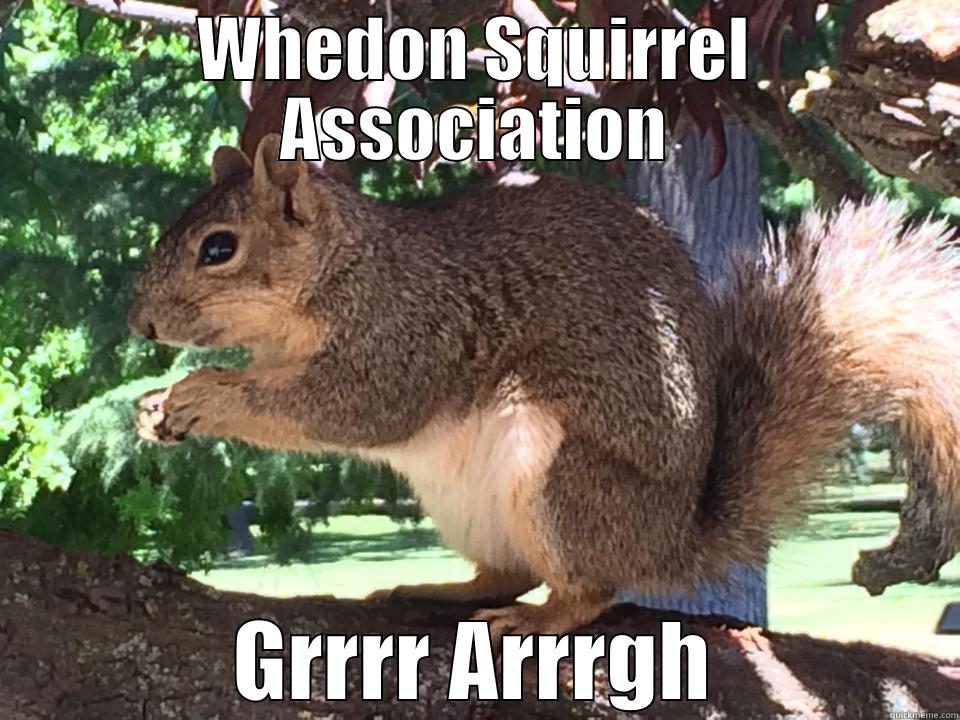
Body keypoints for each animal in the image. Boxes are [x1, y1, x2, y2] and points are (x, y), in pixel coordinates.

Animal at [129, 134, 960, 638]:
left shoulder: (402, 334)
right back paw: (440, 591)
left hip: (560, 475)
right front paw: (153, 406)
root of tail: (674, 539)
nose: (141, 323)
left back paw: (538, 618)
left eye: (219, 248)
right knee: (508, 570)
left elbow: (350, 407)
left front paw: (205, 394)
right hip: (466, 504)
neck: (345, 270)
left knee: (588, 590)